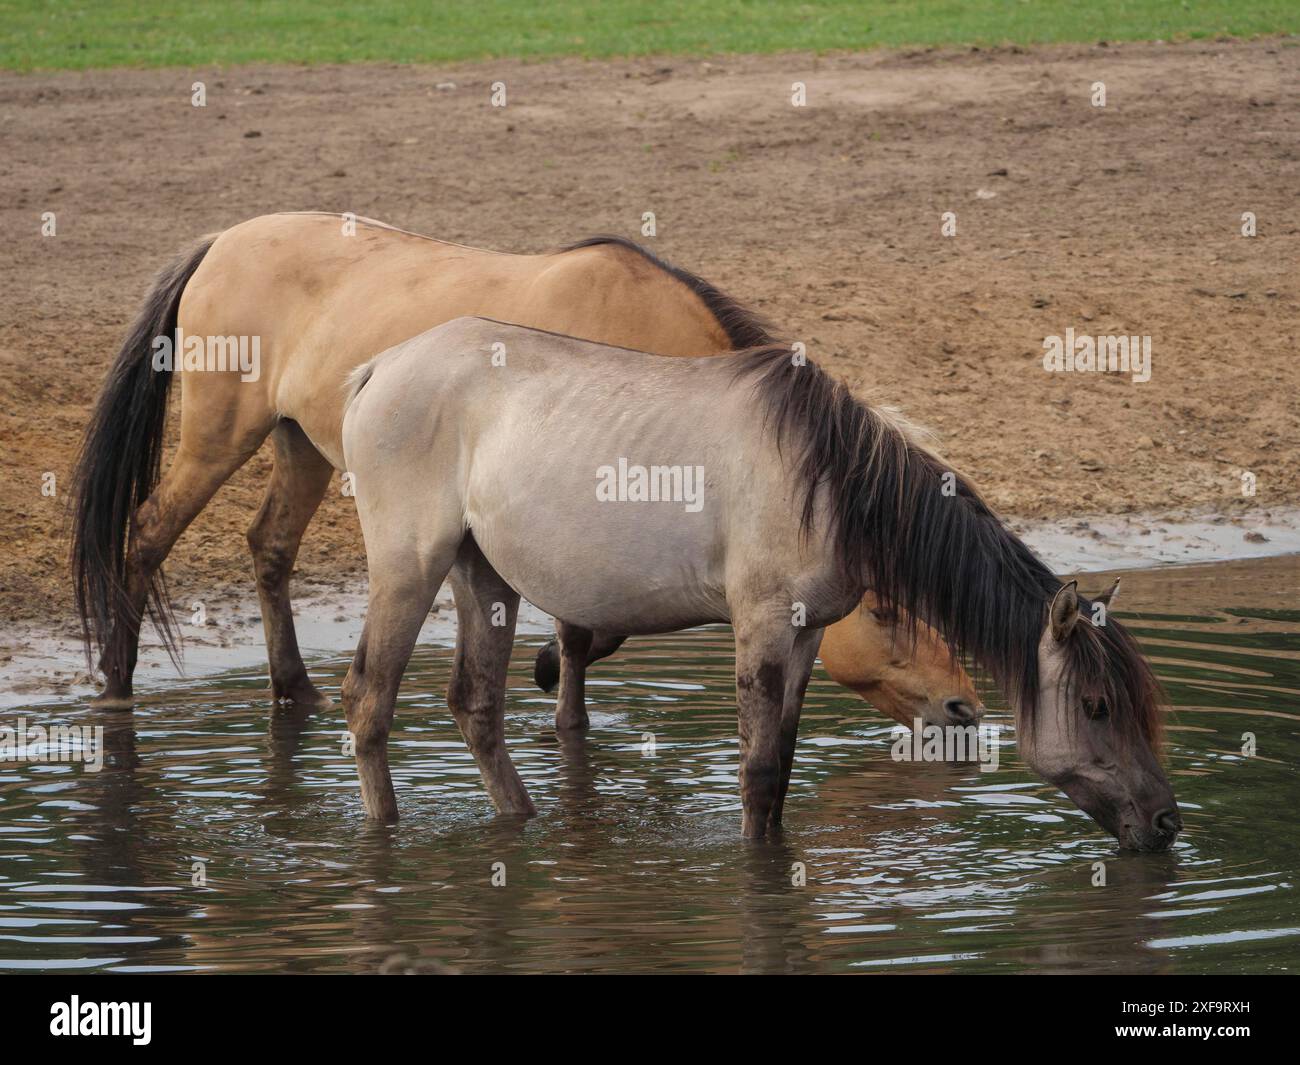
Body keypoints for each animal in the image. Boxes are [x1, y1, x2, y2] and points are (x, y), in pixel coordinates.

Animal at [69, 211, 978, 732]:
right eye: (886, 609)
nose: (962, 703)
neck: (637, 331)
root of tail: (221, 241)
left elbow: (590, 628)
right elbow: (582, 631)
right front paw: (558, 698)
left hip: (298, 443)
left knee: (270, 549)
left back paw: (294, 690)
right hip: (220, 436)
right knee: (146, 536)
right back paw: (117, 680)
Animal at [340, 316, 1181, 850]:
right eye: (1098, 706)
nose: (1168, 822)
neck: (833, 484)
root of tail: (377, 367)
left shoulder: (806, 634)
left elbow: (781, 767)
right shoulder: (762, 626)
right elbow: (757, 770)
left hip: (484, 576)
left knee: (474, 707)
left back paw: (522, 822)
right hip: (409, 569)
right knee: (369, 701)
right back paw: (382, 834)